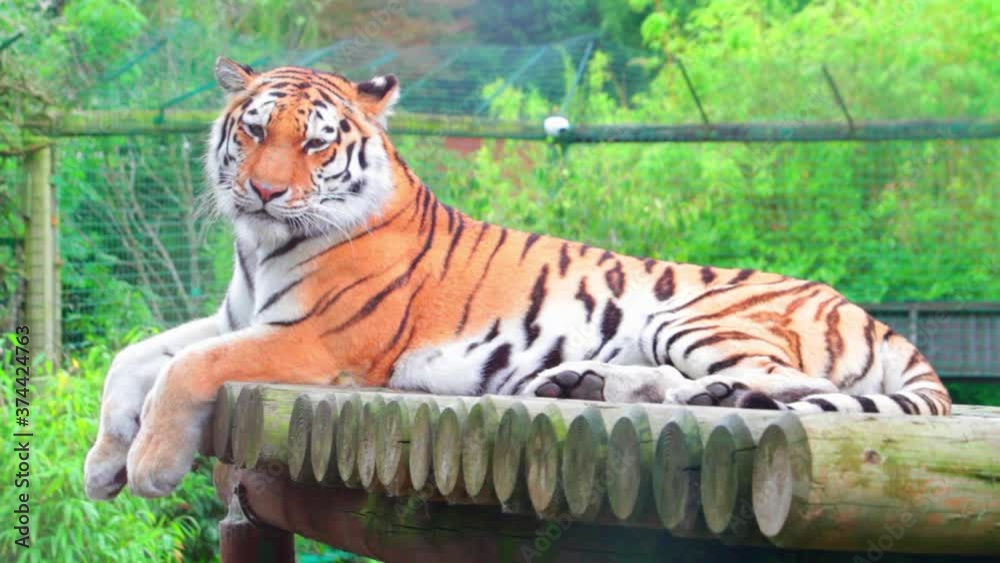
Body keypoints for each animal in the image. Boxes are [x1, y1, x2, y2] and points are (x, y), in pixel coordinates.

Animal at [84, 57, 951, 500]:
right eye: (256, 130)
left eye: (317, 145)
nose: (262, 191)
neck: (260, 246)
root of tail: (872, 315)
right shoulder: (236, 316)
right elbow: (134, 357)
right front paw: (101, 466)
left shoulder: (311, 338)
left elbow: (188, 368)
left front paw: (149, 466)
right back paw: (581, 384)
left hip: (696, 316)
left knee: (789, 388)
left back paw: (705, 396)